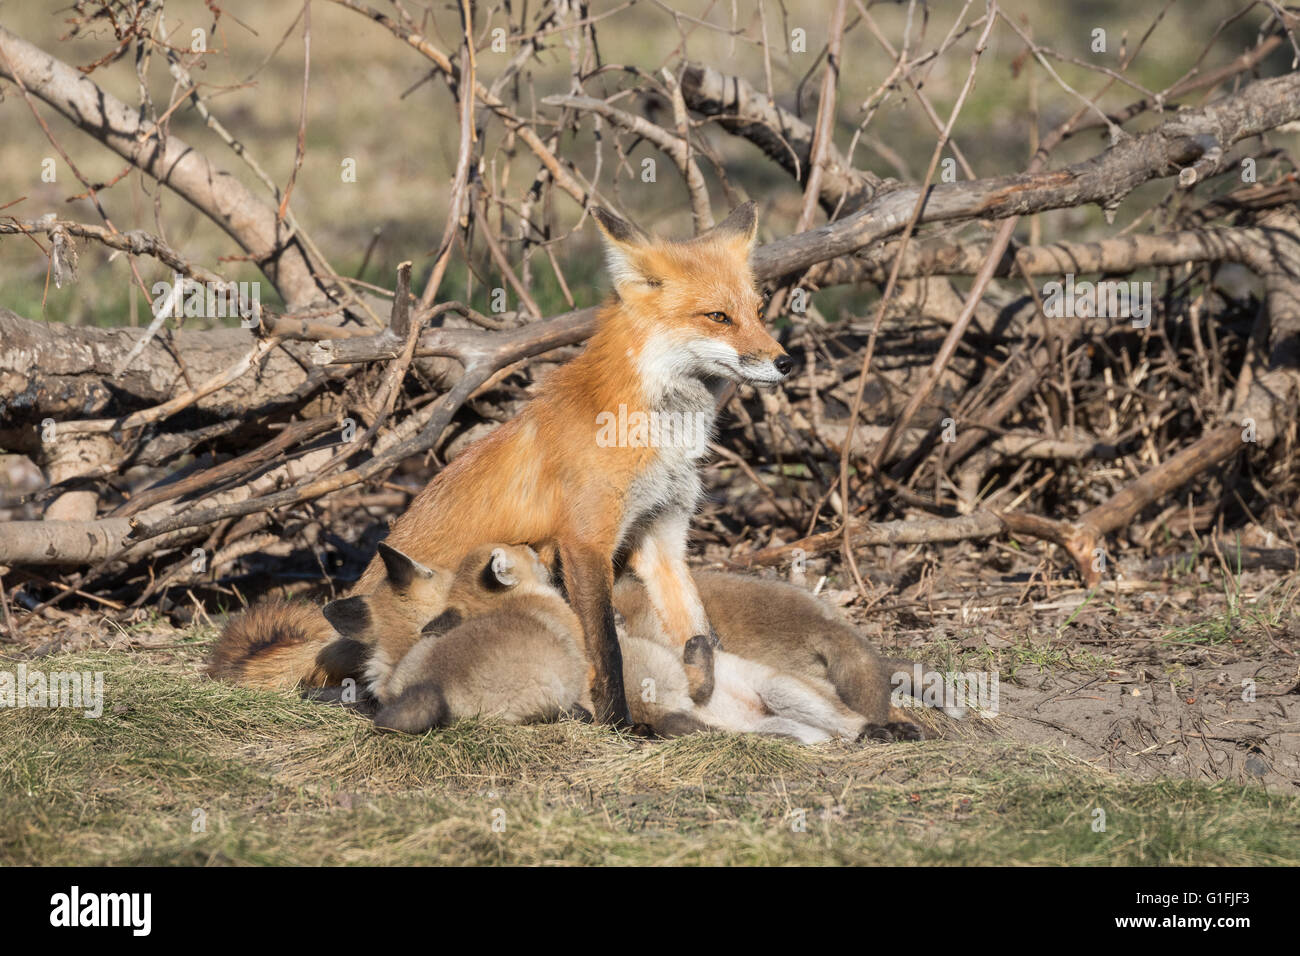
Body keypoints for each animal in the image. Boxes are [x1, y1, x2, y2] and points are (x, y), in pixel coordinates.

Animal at [208, 201, 792, 724]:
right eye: (717, 317)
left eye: (759, 311)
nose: (785, 362)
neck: (657, 429)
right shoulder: (585, 543)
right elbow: (605, 649)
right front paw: (619, 724)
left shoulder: (662, 536)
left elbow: (700, 633)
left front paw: (714, 705)